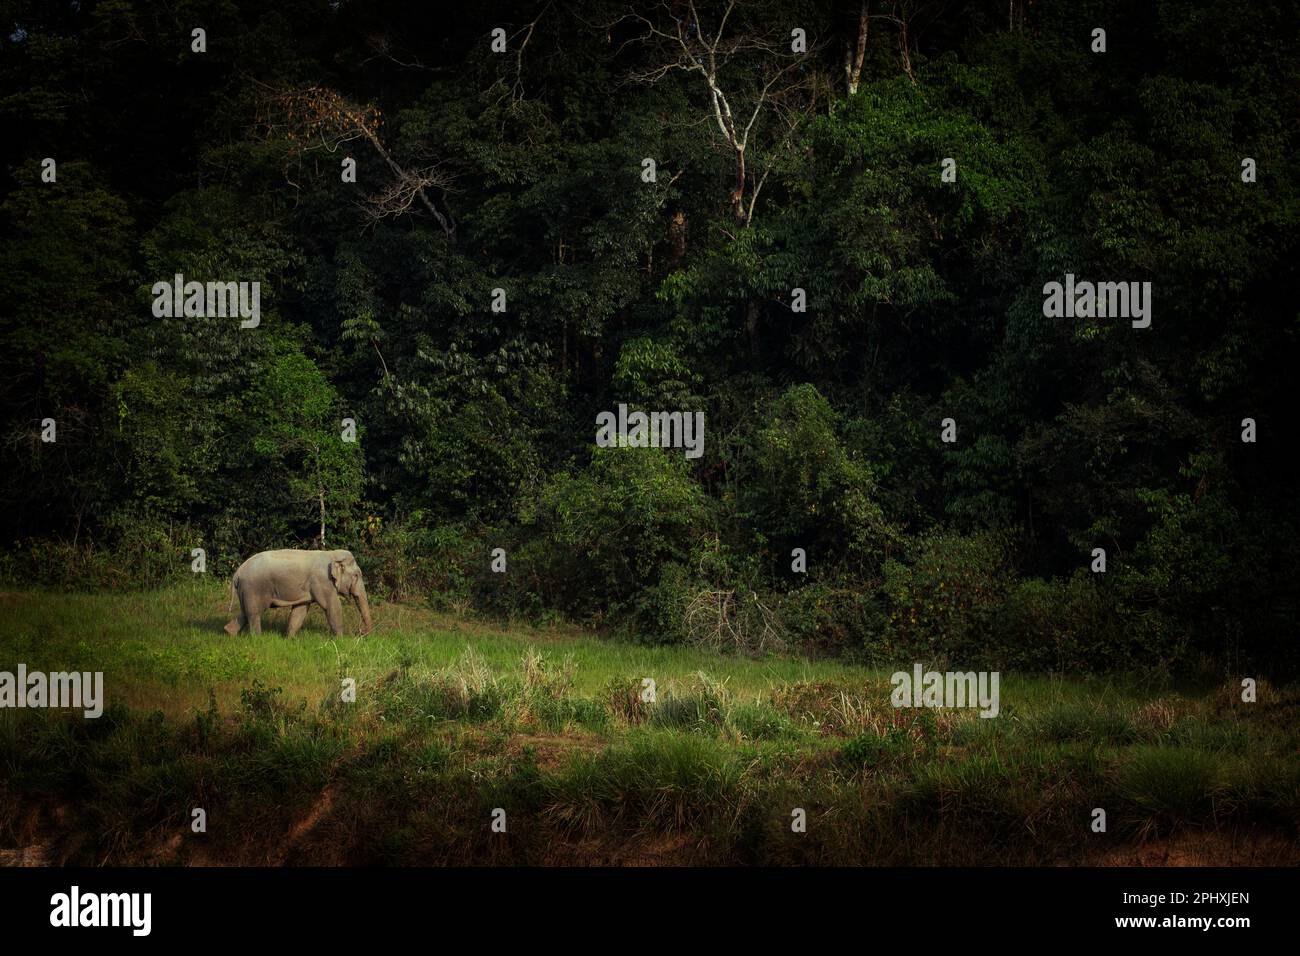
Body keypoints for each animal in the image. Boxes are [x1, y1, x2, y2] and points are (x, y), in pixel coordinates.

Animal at [223, 549, 373, 637]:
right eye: (356, 575)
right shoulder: (322, 581)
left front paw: (290, 639)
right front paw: (341, 640)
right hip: (254, 588)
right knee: (254, 613)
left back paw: (229, 633)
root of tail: (238, 572)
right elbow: (332, 606)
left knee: (245, 612)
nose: (361, 632)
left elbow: (300, 611)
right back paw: (257, 639)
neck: (332, 554)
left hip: (246, 590)